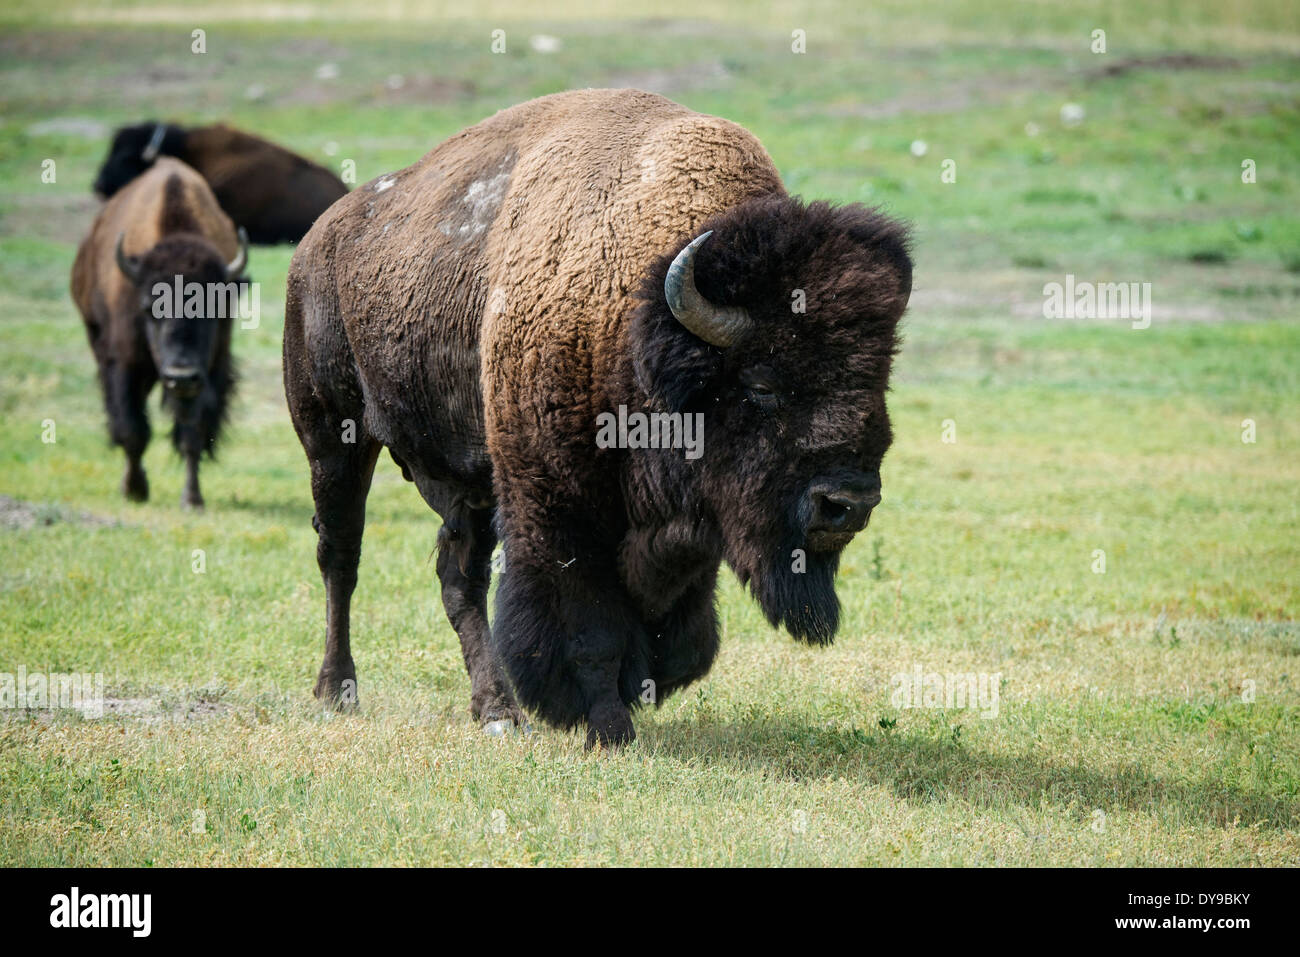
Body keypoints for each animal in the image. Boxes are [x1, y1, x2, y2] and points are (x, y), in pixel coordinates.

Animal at [72, 157, 247, 509]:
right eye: (149, 307)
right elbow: (132, 429)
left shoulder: (210, 370)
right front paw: (135, 489)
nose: (181, 375)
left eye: (215, 308)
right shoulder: (123, 364)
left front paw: (192, 499)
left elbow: (193, 432)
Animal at [283, 89, 912, 748]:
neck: (634, 321)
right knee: (341, 556)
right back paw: (337, 692)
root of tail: (318, 240)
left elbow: (671, 629)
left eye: (878, 380)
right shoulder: (558, 503)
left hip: (468, 483)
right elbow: (593, 631)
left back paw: (497, 711)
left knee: (459, 578)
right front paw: (608, 729)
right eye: (762, 385)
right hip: (333, 437)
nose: (849, 504)